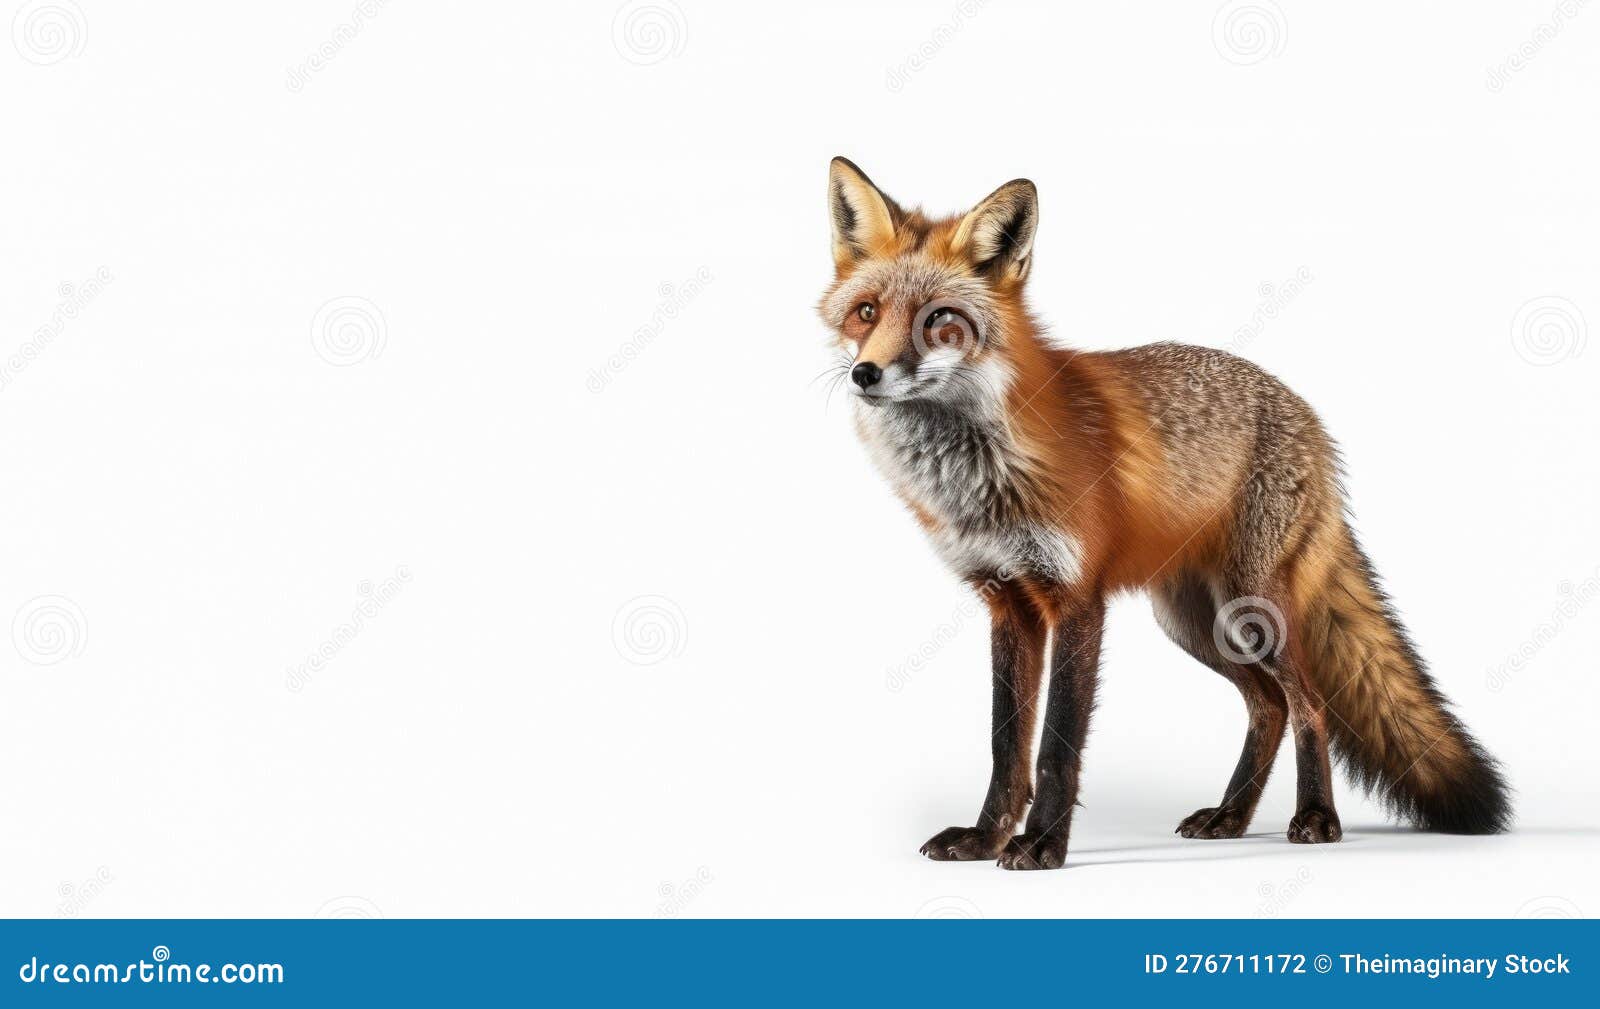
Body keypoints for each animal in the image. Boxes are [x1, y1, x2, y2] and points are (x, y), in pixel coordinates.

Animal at [817, 157, 1511, 870]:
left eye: (939, 320)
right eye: (866, 313)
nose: (866, 374)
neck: (981, 472)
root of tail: (1306, 414)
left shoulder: (1076, 598)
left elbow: (1057, 744)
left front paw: (1042, 845)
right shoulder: (1006, 600)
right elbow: (1006, 745)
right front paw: (987, 838)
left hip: (1252, 609)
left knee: (1310, 703)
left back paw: (1317, 817)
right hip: (1195, 624)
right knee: (1269, 707)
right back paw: (1231, 817)